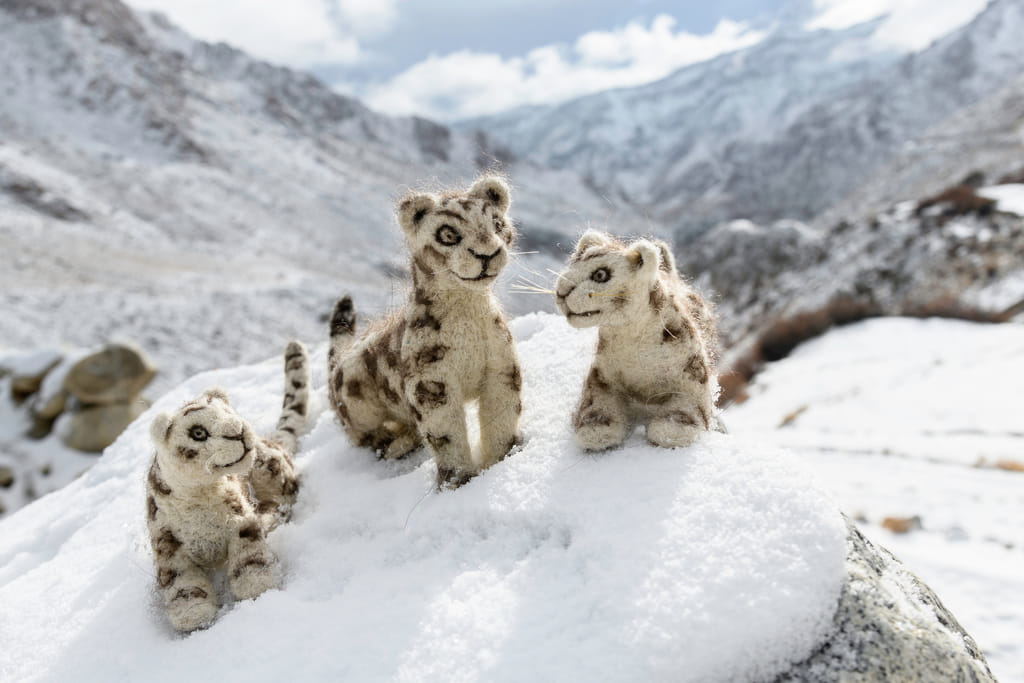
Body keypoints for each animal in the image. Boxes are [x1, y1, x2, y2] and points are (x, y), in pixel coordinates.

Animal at [145, 341, 308, 632]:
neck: (200, 500)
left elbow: (249, 552)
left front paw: (256, 584)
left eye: (227, 412)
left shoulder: (240, 520)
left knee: (286, 497)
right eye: (198, 432)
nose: (238, 429)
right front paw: (192, 614)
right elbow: (180, 580)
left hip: (270, 470)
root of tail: (271, 441)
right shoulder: (168, 543)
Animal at [327, 175, 523, 489]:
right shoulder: (431, 383)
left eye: (497, 223)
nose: (487, 253)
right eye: (448, 234)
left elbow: (502, 417)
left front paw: (502, 461)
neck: (469, 318)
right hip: (357, 404)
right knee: (364, 437)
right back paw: (398, 445)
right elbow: (447, 435)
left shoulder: (501, 368)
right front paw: (459, 480)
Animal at [555, 230, 718, 451]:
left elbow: (689, 406)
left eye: (601, 274)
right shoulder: (602, 374)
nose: (561, 290)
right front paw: (596, 427)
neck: (635, 346)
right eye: (573, 262)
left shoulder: (692, 376)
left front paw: (672, 429)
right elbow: (597, 400)